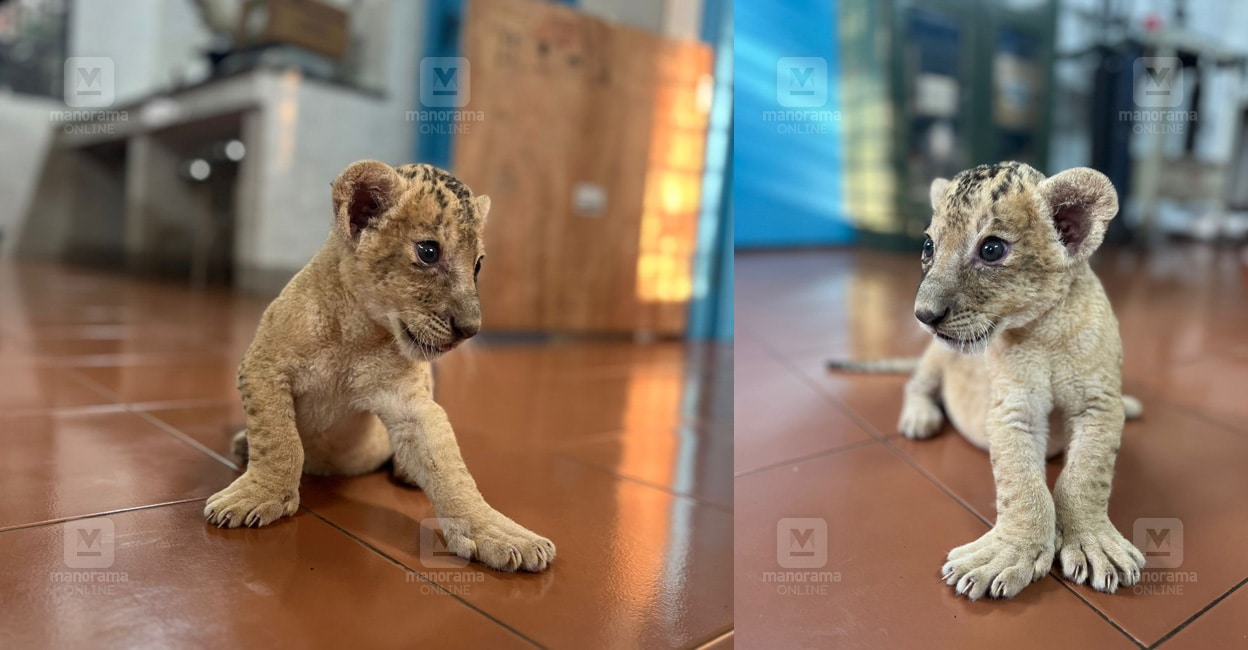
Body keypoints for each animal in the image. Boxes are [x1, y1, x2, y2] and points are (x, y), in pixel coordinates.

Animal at [204, 160, 555, 573]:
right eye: (428, 251)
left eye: (479, 264)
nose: (472, 329)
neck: (355, 329)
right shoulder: (262, 367)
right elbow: (278, 440)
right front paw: (260, 495)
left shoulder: (410, 404)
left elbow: (451, 471)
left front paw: (498, 532)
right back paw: (242, 445)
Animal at [829, 162, 1145, 599]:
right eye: (928, 246)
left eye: (992, 249)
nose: (923, 314)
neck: (1043, 330)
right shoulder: (1010, 410)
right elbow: (1023, 487)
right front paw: (1008, 554)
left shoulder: (1098, 405)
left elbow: (1086, 476)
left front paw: (1092, 542)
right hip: (935, 358)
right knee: (916, 385)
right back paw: (919, 419)